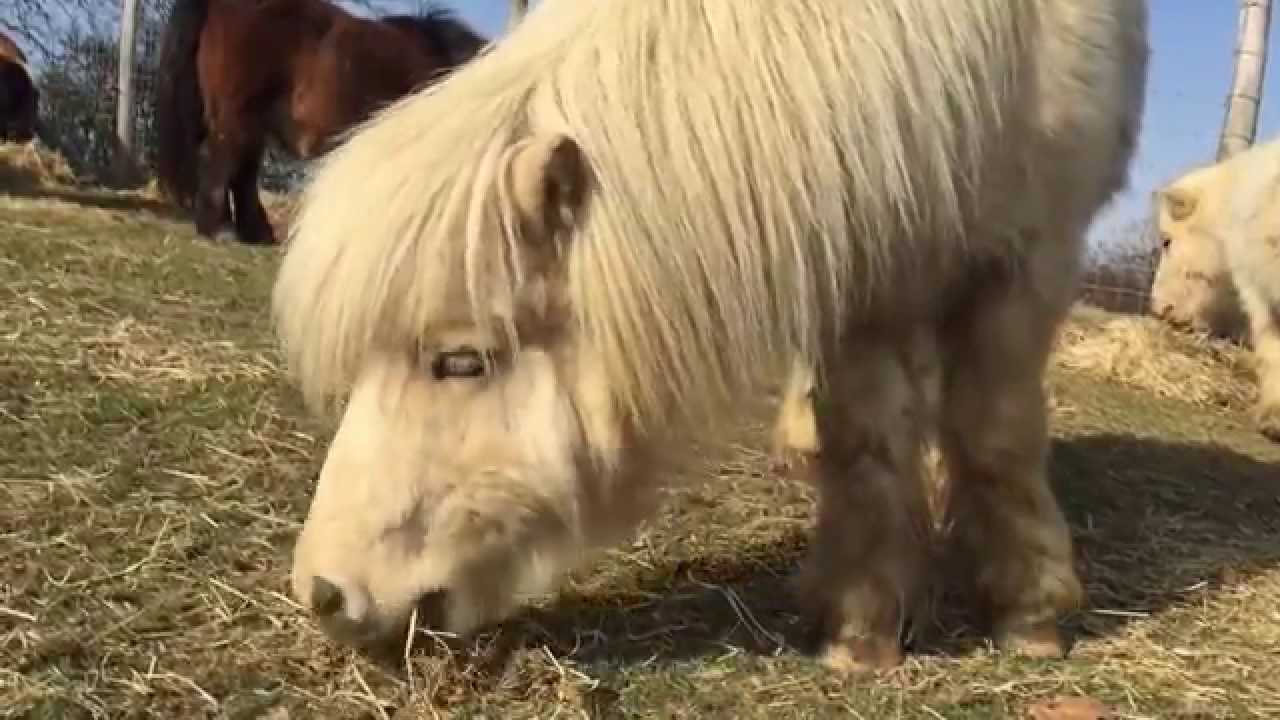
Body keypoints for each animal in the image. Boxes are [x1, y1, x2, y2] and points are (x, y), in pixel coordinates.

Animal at [271, 0, 1149, 673]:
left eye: (460, 361)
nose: (324, 592)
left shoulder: (1029, 260)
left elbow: (995, 432)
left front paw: (1028, 613)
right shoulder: (864, 268)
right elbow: (866, 444)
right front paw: (861, 626)